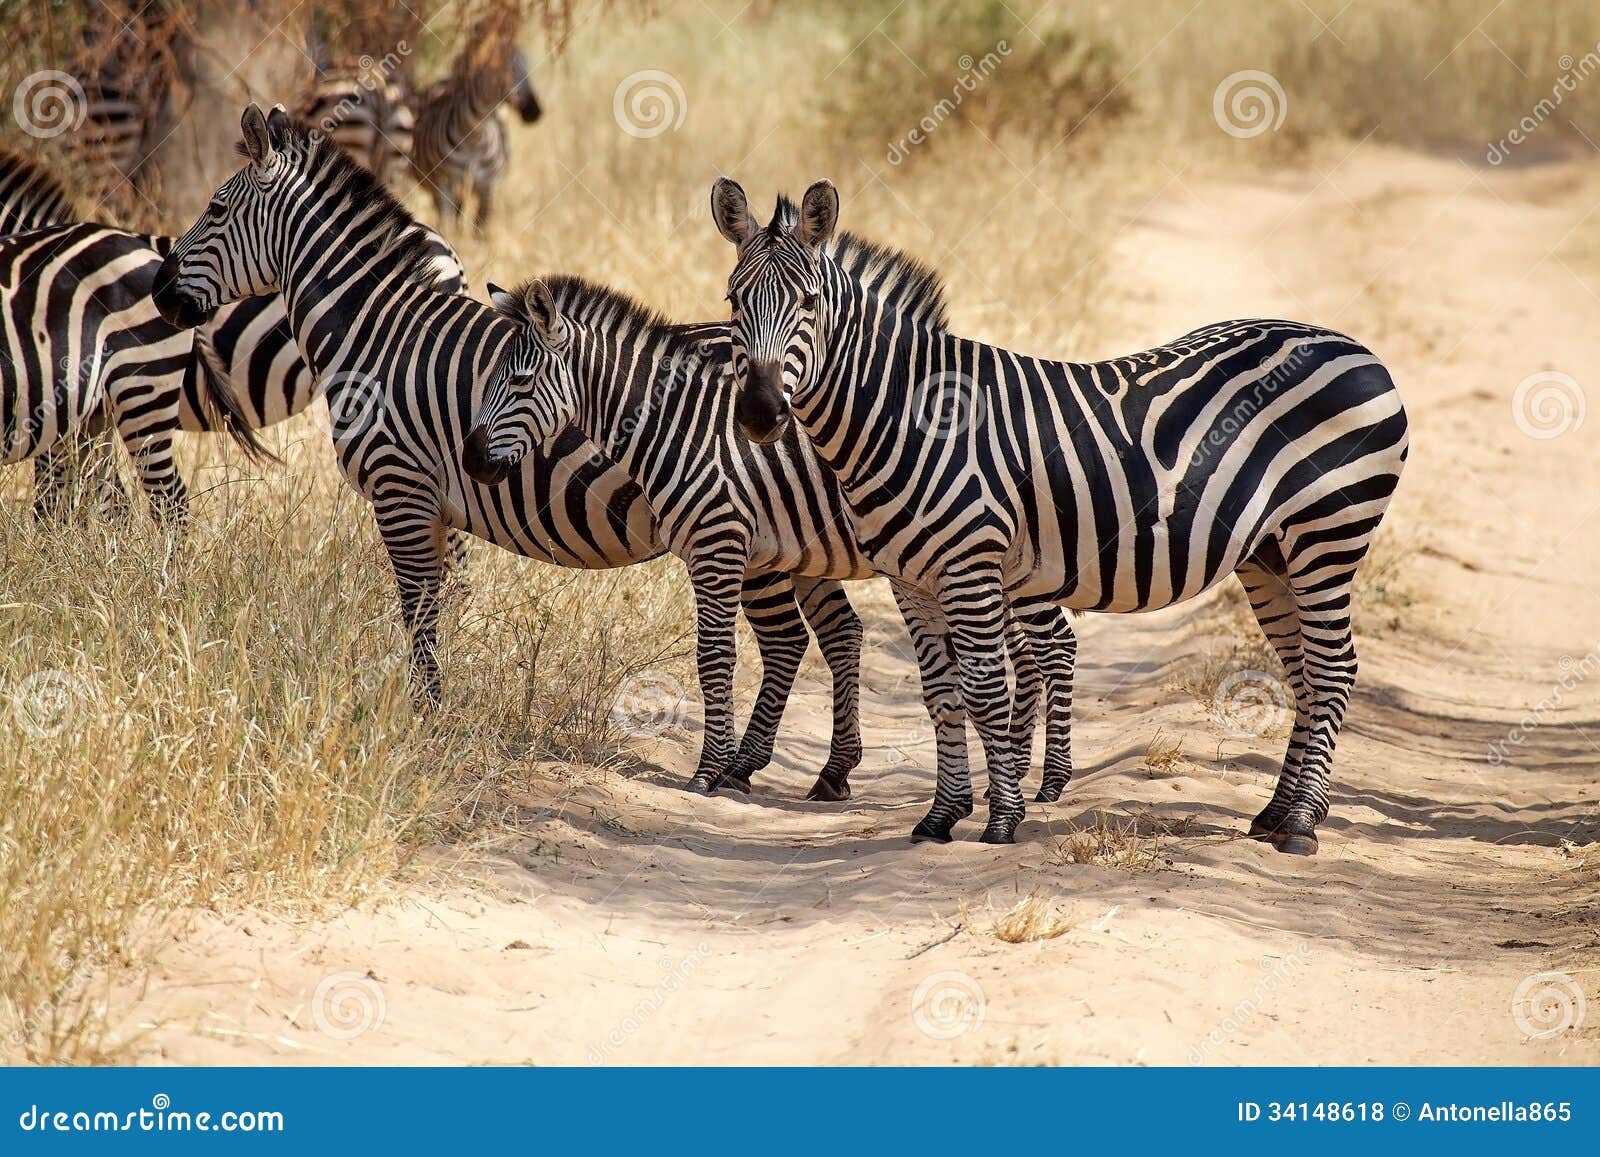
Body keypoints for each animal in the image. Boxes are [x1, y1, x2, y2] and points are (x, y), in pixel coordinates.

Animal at [150, 104, 870, 797]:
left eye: (215, 209)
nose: (158, 291)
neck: (378, 335)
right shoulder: (438, 508)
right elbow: (445, 606)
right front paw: (438, 711)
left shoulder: (401, 490)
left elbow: (418, 613)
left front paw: (424, 720)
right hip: (801, 535)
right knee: (835, 629)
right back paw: (816, 770)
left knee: (788, 638)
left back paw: (746, 767)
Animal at [408, 46, 541, 234]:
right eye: (505, 70)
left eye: (529, 67)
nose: (535, 112)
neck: (475, 138)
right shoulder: (444, 186)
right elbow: (447, 225)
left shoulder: (488, 187)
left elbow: (480, 229)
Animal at [460, 273, 1080, 805]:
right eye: (488, 379)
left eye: (519, 382)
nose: (470, 460)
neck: (679, 427)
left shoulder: (717, 545)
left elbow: (715, 657)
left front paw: (710, 770)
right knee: (1026, 649)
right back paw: (1012, 772)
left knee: (1053, 643)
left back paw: (1046, 779)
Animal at [709, 178, 1409, 853]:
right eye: (733, 302)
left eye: (807, 304)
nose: (760, 415)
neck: (905, 414)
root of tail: (1354, 347)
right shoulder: (911, 580)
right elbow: (941, 694)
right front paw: (942, 816)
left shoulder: (971, 565)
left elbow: (985, 691)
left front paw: (1000, 821)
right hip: (1270, 553)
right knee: (1304, 670)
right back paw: (1275, 814)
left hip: (1327, 534)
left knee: (1334, 667)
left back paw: (1302, 826)